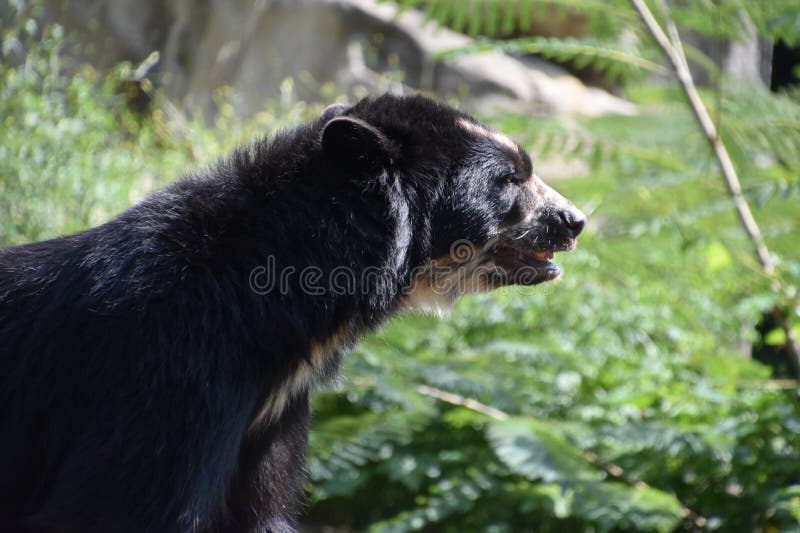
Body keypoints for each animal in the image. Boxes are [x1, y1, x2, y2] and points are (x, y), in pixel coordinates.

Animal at [0, 93, 585, 533]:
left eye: (524, 170)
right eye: (510, 180)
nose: (575, 220)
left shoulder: (272, 413)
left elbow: (262, 510)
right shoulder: (168, 368)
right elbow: (118, 503)